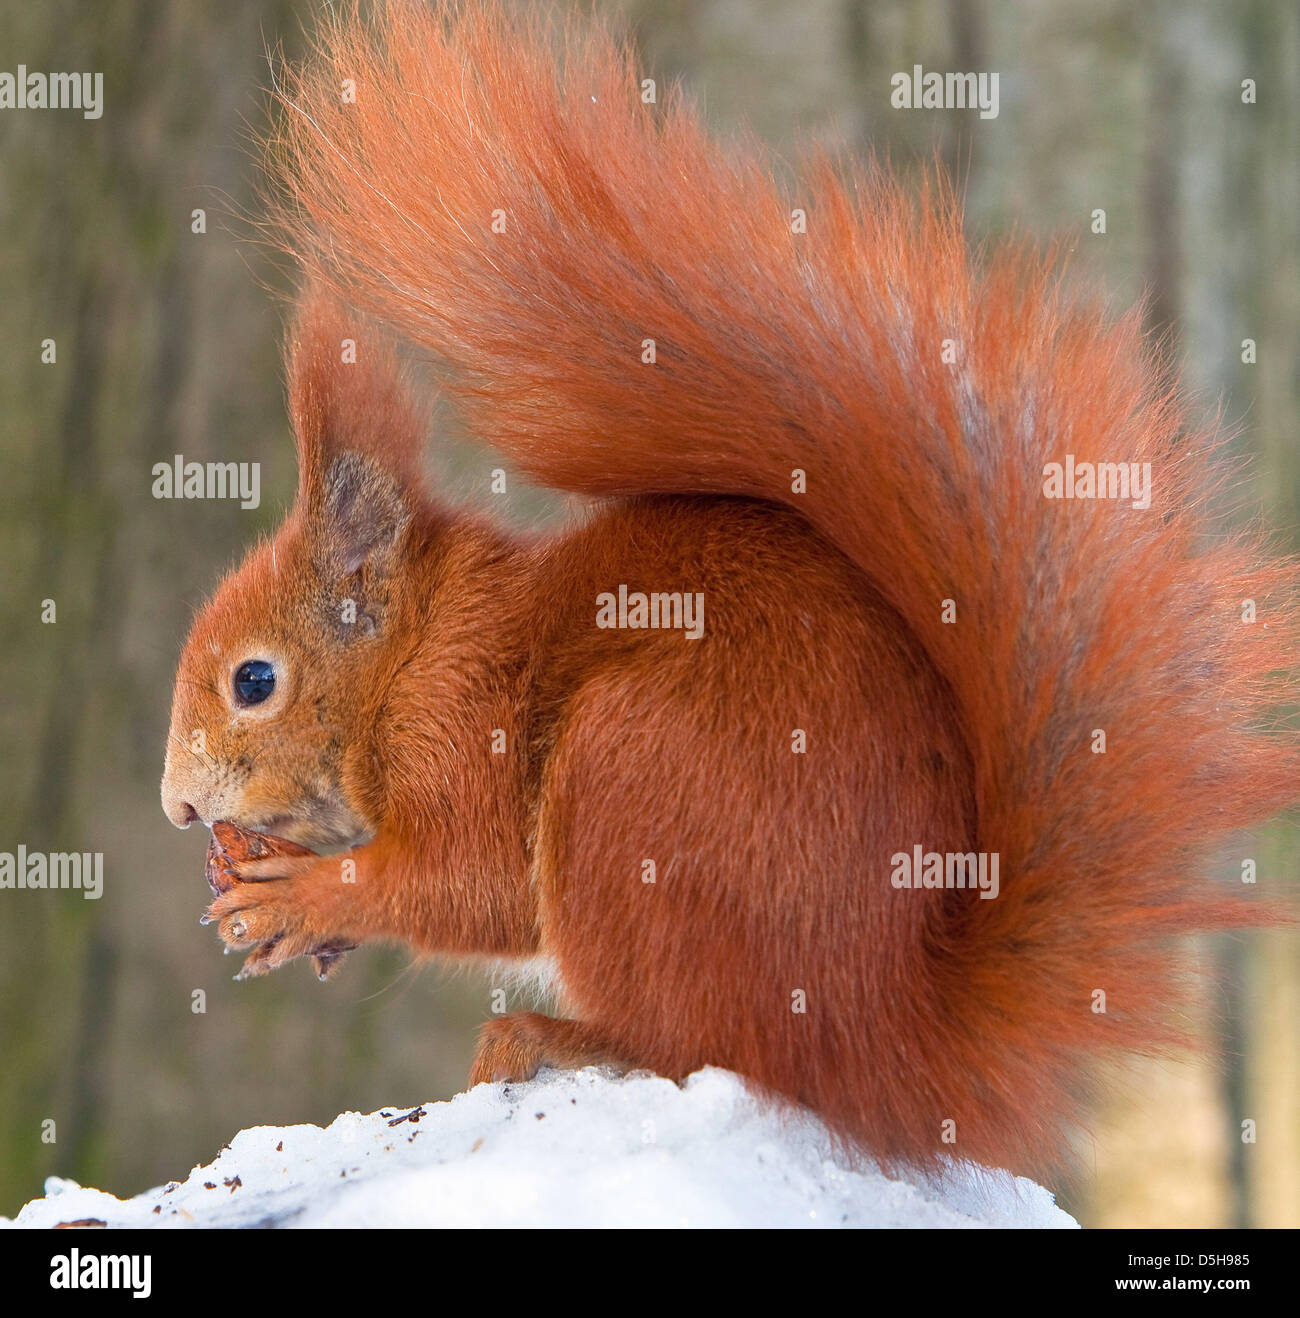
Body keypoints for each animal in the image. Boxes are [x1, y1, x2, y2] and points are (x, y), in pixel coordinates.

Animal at [160, 0, 1299, 1176]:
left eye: (255, 681)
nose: (179, 807)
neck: (414, 649)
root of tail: (882, 1038)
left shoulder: (463, 723)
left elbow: (467, 881)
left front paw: (308, 894)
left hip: (631, 777)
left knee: (687, 1042)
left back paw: (551, 1033)